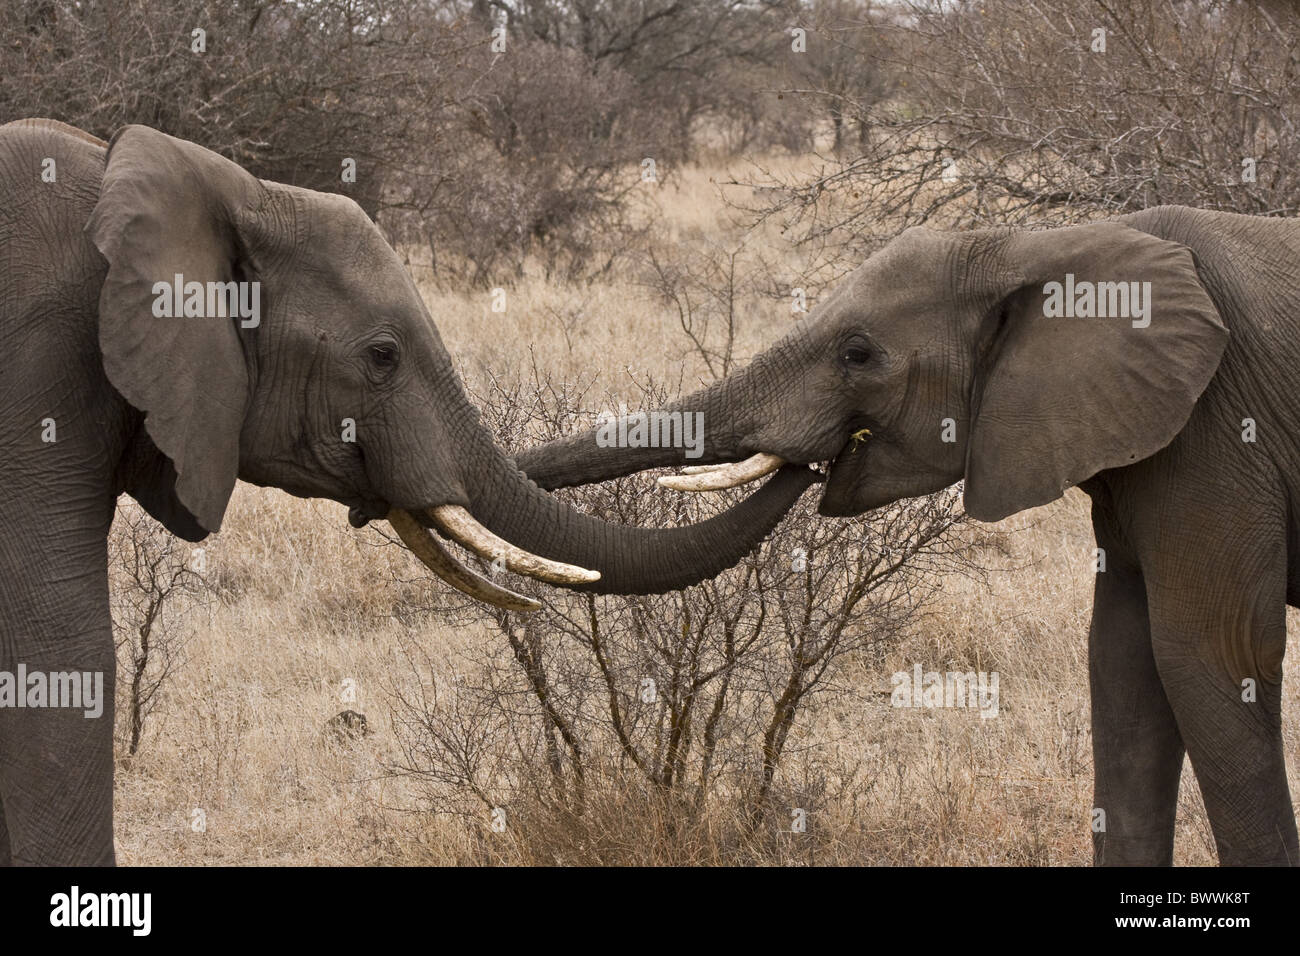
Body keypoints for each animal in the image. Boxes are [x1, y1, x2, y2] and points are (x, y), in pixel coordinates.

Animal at [516, 207, 1300, 866]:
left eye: (858, 354)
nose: (816, 462)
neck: (1030, 244)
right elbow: (1124, 664)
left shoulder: (1217, 436)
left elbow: (1210, 656)